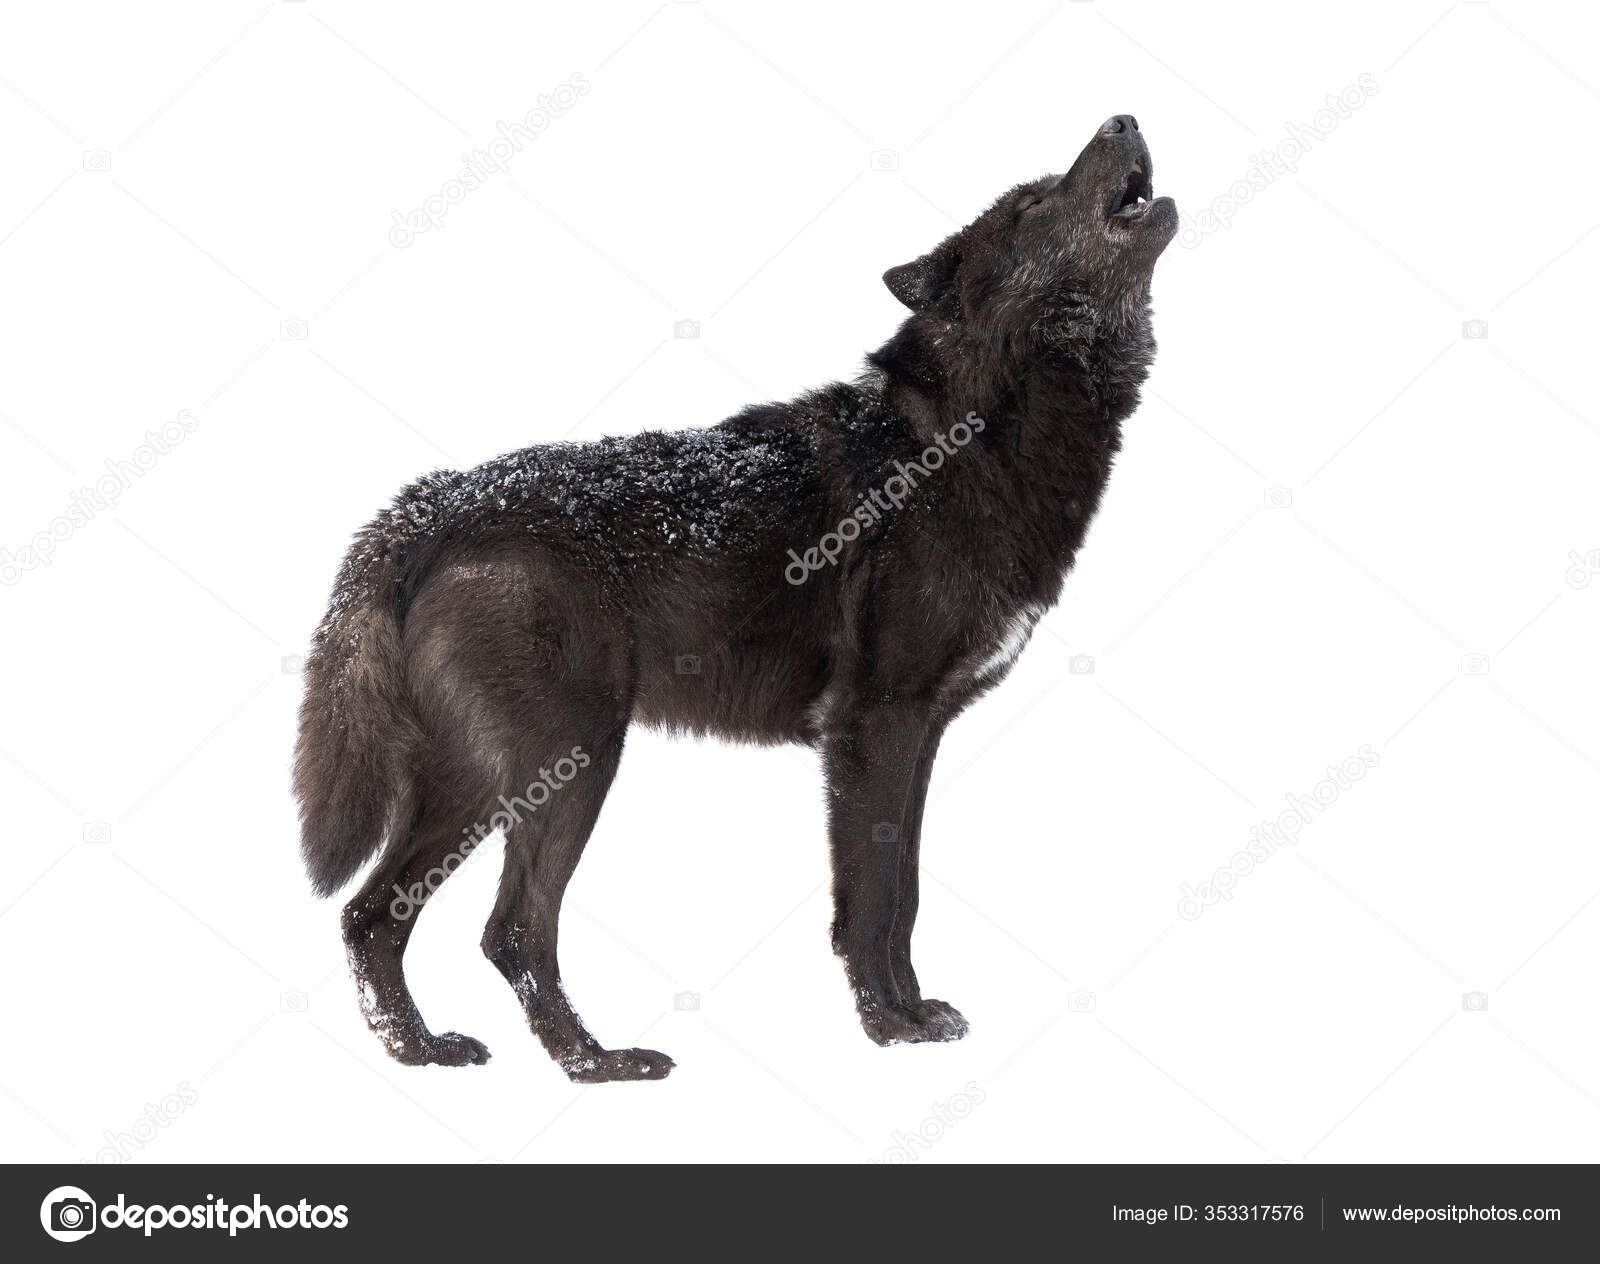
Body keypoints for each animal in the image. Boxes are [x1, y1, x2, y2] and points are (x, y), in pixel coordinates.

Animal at [295, 115, 1177, 1082]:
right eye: (1030, 203)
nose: (1123, 119)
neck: (972, 437)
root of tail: (435, 502)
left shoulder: (923, 731)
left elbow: (905, 892)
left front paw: (914, 1011)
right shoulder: (874, 726)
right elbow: (873, 900)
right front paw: (887, 1028)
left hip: (479, 783)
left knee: (373, 913)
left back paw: (422, 1050)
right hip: (572, 762)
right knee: (511, 931)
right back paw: (599, 1064)